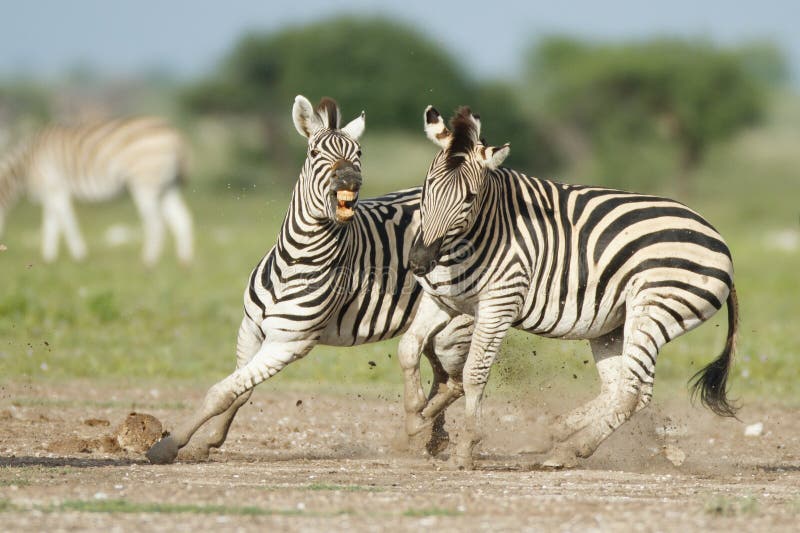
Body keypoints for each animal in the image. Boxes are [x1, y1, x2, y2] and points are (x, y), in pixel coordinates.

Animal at [0, 116, 193, 265]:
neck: (25, 164)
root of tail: (174, 133)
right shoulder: (50, 192)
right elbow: (51, 224)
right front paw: (48, 259)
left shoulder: (56, 187)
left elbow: (66, 221)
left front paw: (79, 256)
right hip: (168, 186)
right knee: (182, 219)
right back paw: (184, 262)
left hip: (145, 184)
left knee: (156, 223)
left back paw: (148, 261)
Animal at [146, 96, 473, 464]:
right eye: (315, 153)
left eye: (359, 153)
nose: (349, 178)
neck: (295, 260)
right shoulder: (250, 328)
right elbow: (240, 392)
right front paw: (209, 442)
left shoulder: (288, 342)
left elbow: (222, 391)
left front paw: (168, 445)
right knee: (443, 379)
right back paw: (430, 438)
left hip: (453, 332)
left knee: (456, 382)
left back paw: (418, 429)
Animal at [405, 105, 738, 470]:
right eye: (427, 187)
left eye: (470, 198)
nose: (419, 263)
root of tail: (718, 239)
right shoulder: (440, 300)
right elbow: (408, 348)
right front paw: (415, 415)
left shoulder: (499, 304)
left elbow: (473, 373)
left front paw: (466, 448)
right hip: (613, 324)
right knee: (622, 388)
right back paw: (561, 430)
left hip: (653, 311)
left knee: (631, 392)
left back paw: (570, 450)